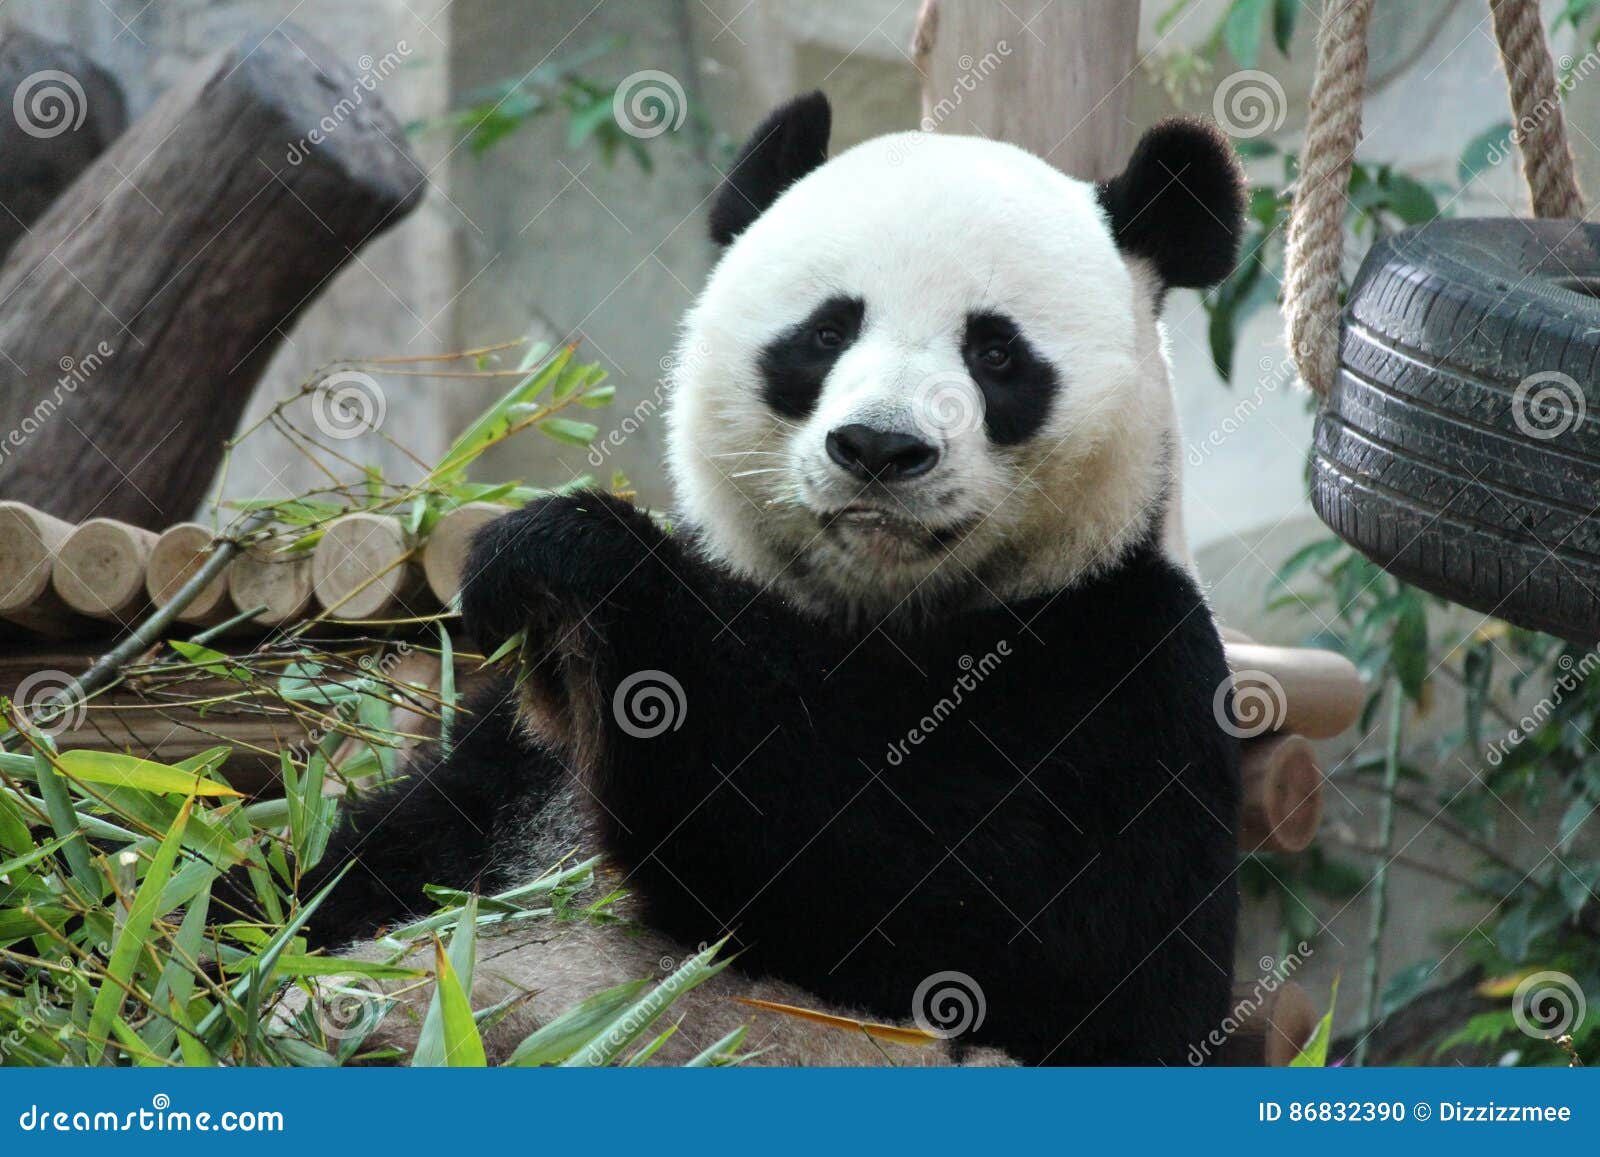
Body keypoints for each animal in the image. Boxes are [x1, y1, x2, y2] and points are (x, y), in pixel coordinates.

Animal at [292, 92, 1246, 1067]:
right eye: (827, 331)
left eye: (996, 353)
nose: (879, 447)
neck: (874, 610)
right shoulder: (520, 759)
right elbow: (370, 864)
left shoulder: (1126, 666)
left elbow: (1004, 928)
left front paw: (581, 557)